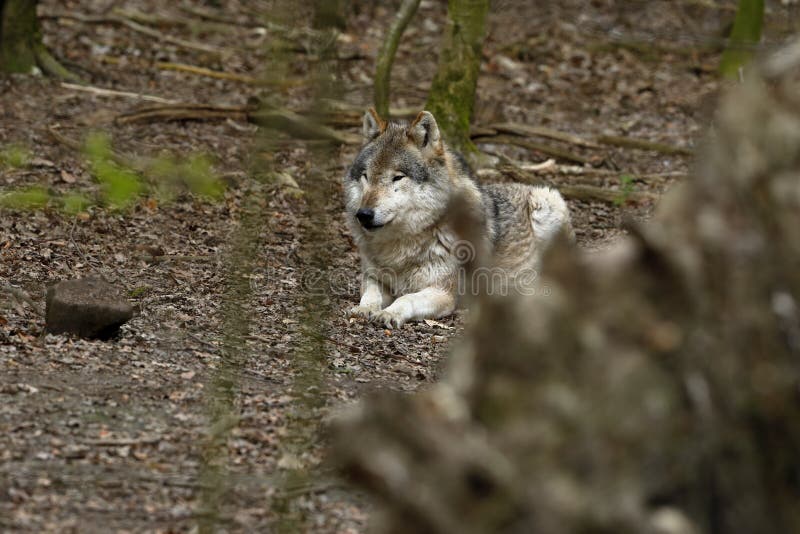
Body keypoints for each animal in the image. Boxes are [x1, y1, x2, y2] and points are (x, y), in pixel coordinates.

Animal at [343, 108, 572, 329]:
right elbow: (370, 294)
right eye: (366, 176)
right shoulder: (373, 277)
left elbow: (406, 298)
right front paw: (364, 309)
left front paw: (389, 313)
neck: (402, 246)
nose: (363, 214)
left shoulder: (444, 293)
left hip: (546, 201)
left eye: (398, 177)